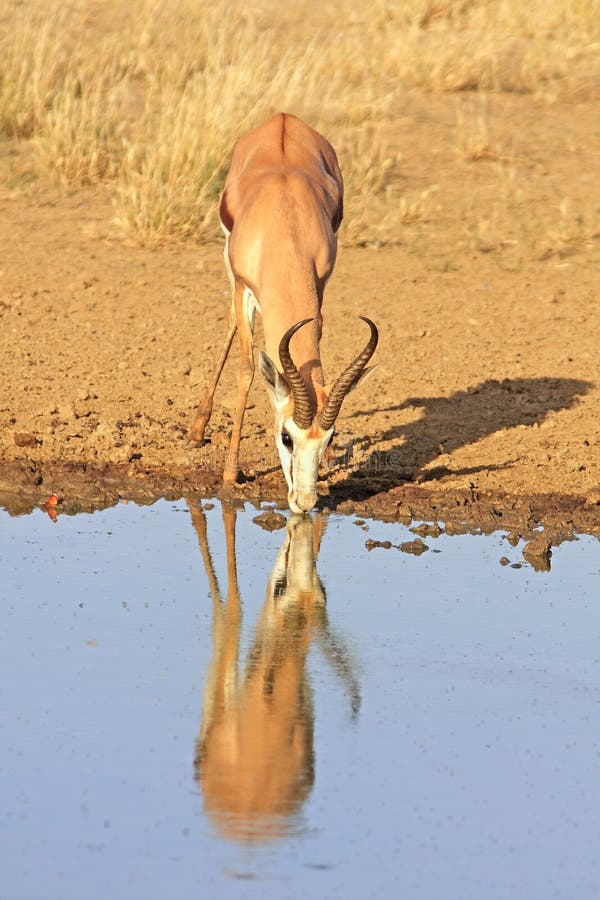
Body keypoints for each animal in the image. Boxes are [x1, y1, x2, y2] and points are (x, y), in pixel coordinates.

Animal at [189, 113, 379, 513]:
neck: (285, 227)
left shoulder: (319, 286)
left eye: (328, 437)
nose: (305, 502)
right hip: (230, 269)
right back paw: (197, 430)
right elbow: (247, 370)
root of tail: (283, 119)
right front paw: (231, 472)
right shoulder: (244, 287)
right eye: (286, 437)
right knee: (232, 323)